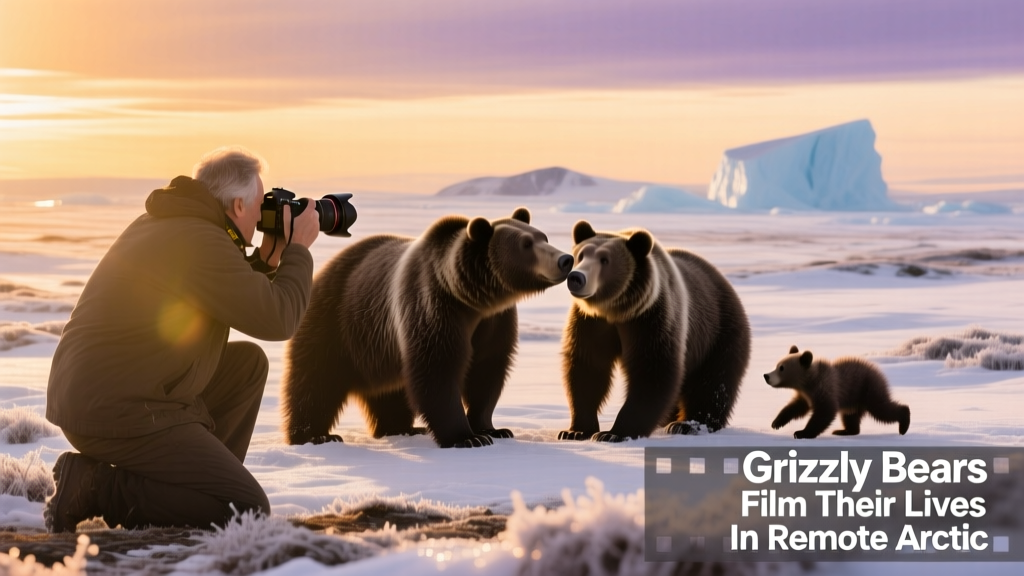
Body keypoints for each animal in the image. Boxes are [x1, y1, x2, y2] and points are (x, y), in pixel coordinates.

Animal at [281, 208, 573, 448]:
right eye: (526, 244)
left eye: (543, 237)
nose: (565, 259)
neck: (473, 299)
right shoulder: (435, 306)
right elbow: (438, 369)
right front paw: (466, 437)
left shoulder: (494, 321)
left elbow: (487, 370)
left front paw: (494, 429)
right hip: (335, 323)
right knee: (315, 380)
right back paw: (314, 435)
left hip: (379, 346)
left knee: (390, 391)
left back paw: (402, 428)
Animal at [558, 221, 751, 442]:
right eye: (581, 255)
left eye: (605, 260)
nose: (576, 277)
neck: (616, 311)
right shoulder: (590, 322)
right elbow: (587, 368)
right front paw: (575, 431)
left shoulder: (651, 318)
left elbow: (652, 371)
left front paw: (613, 433)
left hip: (719, 332)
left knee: (712, 383)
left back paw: (687, 425)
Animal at [764, 346, 911, 439]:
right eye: (777, 364)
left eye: (781, 368)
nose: (766, 376)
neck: (809, 381)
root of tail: (878, 371)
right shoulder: (805, 395)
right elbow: (796, 407)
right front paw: (776, 423)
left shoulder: (824, 388)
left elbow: (825, 411)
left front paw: (802, 433)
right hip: (854, 398)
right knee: (850, 416)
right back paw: (844, 431)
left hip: (867, 388)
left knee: (882, 409)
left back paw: (904, 422)